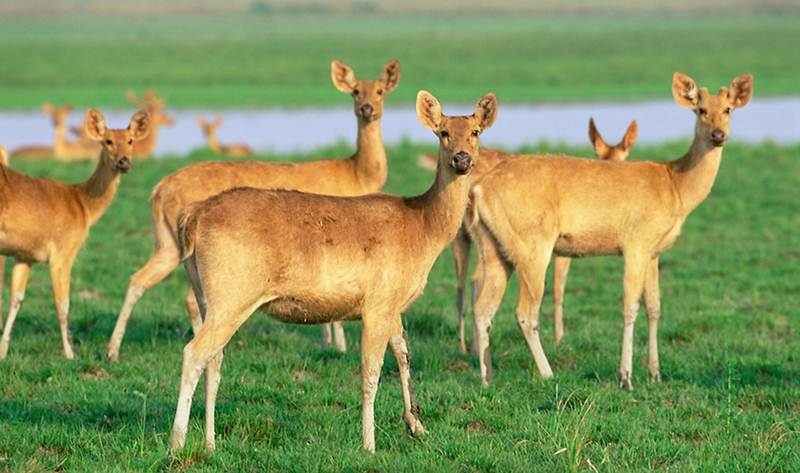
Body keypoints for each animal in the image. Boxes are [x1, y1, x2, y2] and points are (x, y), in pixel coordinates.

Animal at [0, 109, 150, 359]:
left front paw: (3, 351)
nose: (124, 161)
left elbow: (16, 299)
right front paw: (70, 354)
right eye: (107, 141)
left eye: (130, 141)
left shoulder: (24, 254)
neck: (83, 205)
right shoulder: (63, 250)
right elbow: (63, 303)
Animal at [107, 59, 401, 362]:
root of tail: (159, 189)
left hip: (167, 244)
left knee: (140, 280)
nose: (367, 108)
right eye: (355, 90)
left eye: (380, 90)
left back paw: (112, 351)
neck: (356, 173)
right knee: (188, 299)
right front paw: (338, 346)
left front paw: (329, 344)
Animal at [166, 90, 497, 454]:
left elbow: (404, 353)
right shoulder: (377, 302)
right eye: (443, 133)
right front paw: (369, 444)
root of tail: (194, 215)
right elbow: (371, 372)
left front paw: (417, 425)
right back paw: (176, 443)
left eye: (476, 132)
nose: (462, 159)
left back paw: (210, 443)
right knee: (193, 353)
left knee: (214, 359)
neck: (423, 231)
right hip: (232, 292)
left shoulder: (393, 304)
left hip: (210, 294)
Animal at [419, 118, 638, 352]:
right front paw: (559, 338)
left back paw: (464, 346)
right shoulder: (562, 248)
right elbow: (558, 287)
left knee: (461, 285)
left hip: (461, 236)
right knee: (477, 279)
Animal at [466, 73, 752, 390]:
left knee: (483, 309)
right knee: (525, 311)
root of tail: (478, 189)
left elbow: (655, 306)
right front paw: (626, 377)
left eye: (728, 109)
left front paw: (655, 374)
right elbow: (630, 306)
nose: (718, 135)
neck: (676, 187)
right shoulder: (636, 243)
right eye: (700, 110)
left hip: (493, 246)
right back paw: (548, 373)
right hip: (532, 244)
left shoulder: (654, 252)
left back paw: (487, 378)